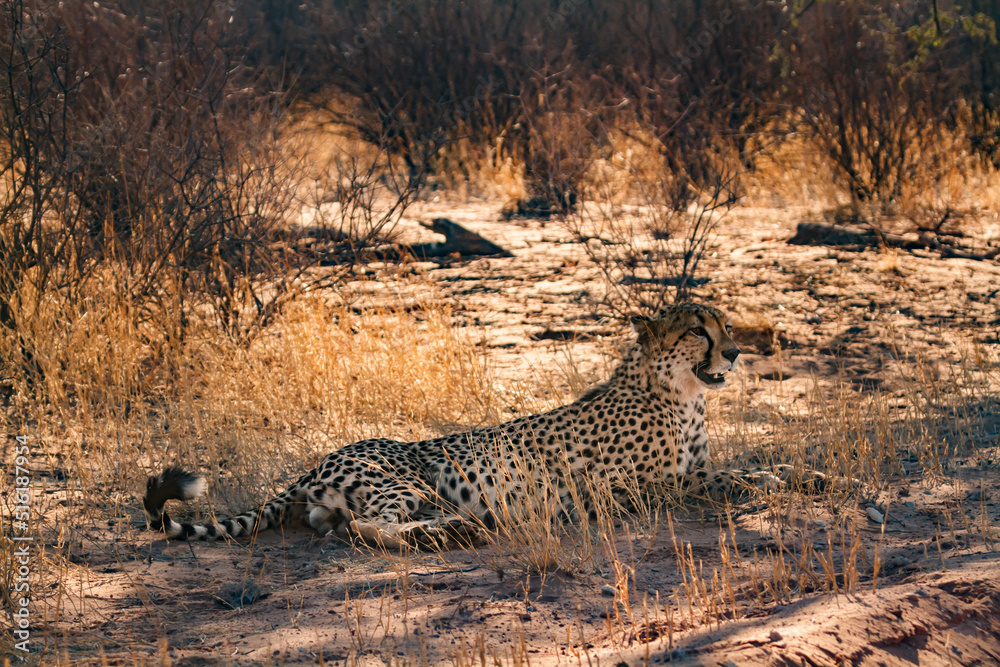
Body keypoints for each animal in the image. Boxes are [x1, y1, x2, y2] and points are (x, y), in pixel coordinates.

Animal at [143, 302, 821, 550]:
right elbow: (725, 481)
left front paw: (805, 473)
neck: (680, 394)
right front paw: (773, 486)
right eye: (697, 331)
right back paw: (459, 529)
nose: (734, 352)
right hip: (408, 479)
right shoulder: (638, 487)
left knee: (338, 525)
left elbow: (754, 465)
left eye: (724, 325)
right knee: (371, 528)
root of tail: (312, 463)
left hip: (362, 496)